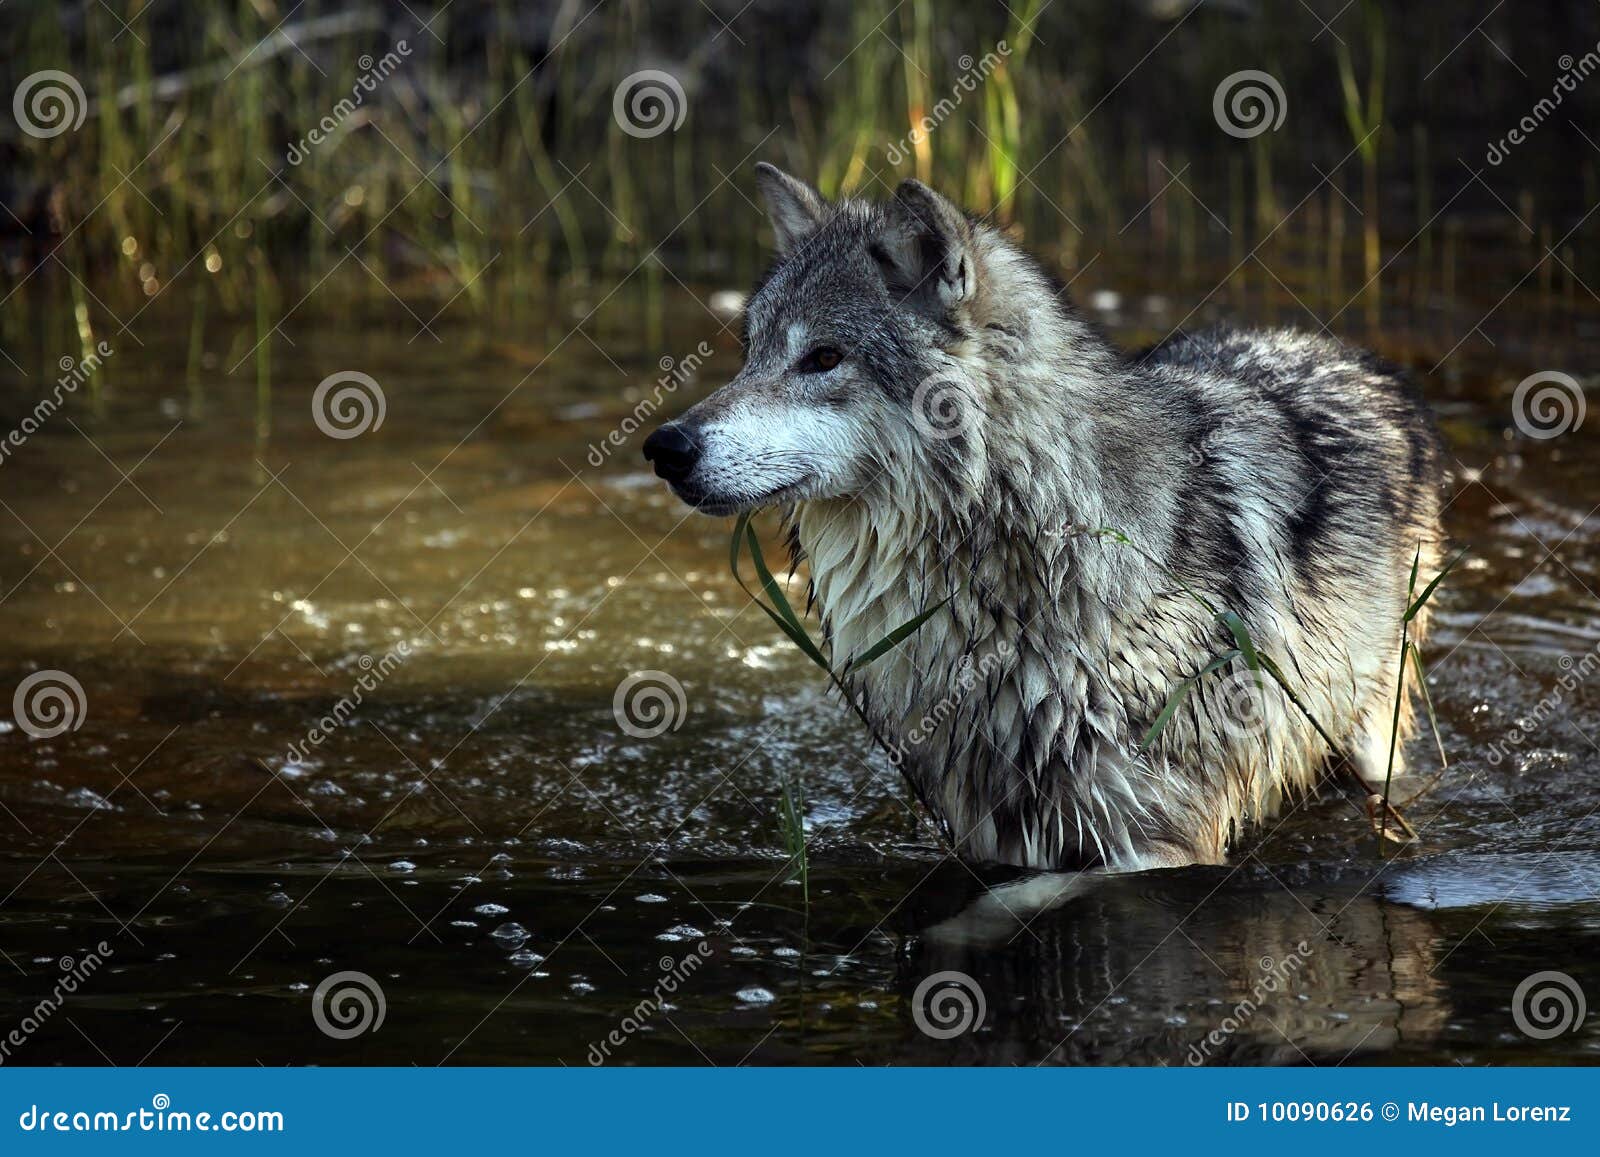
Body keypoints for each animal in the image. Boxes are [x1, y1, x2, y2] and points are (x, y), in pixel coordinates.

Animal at [643, 163, 1445, 872]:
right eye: (752, 353)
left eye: (823, 357)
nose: (665, 447)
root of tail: (1338, 350)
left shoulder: (1157, 841)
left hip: (1372, 732)